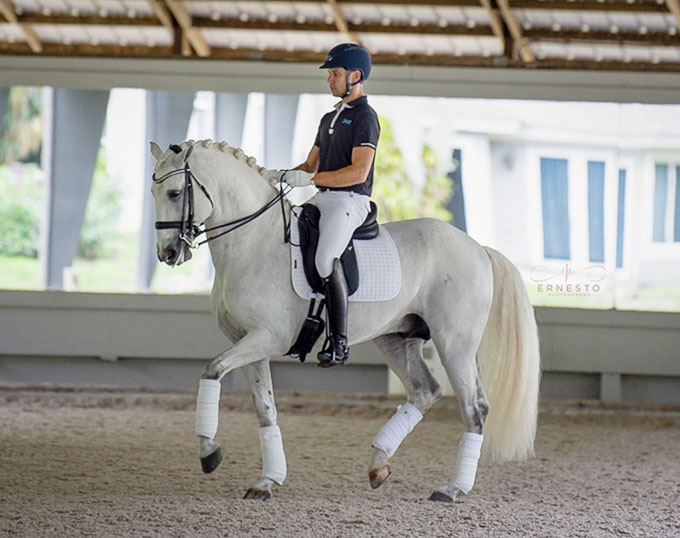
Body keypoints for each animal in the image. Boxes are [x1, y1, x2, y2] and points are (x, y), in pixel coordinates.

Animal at [149, 138, 541, 502]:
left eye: (174, 192)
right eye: (153, 191)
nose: (168, 252)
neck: (254, 243)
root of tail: (478, 248)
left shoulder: (267, 338)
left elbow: (211, 370)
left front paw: (209, 453)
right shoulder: (248, 344)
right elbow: (265, 409)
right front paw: (267, 481)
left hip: (454, 344)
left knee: (474, 407)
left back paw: (452, 488)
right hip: (397, 337)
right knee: (425, 390)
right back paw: (378, 465)